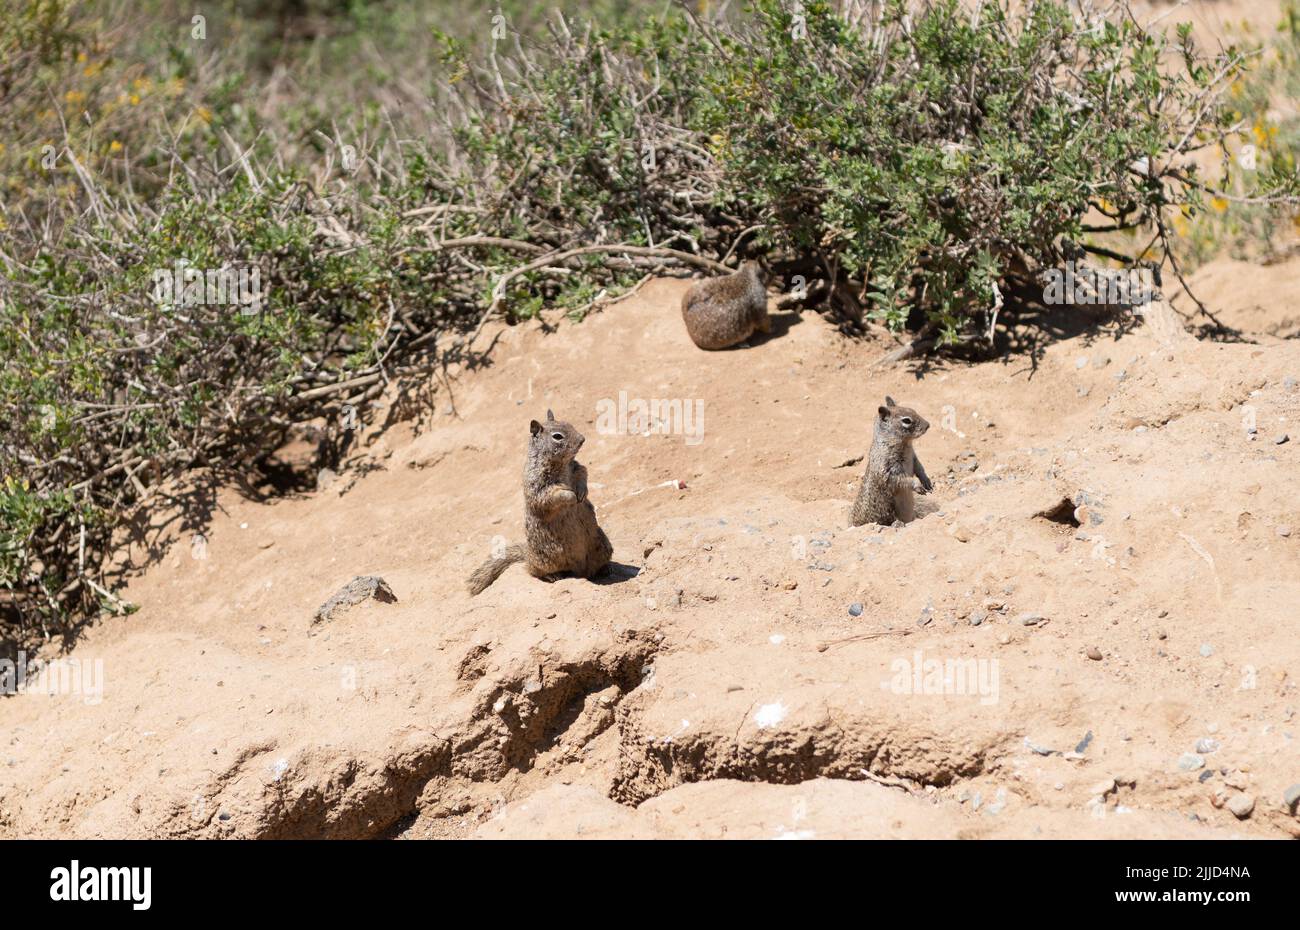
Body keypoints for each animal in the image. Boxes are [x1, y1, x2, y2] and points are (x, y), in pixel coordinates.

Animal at [466, 410, 613, 595]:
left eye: (569, 424)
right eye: (557, 436)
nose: (582, 439)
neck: (560, 464)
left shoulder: (575, 467)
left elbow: (583, 472)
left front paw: (582, 492)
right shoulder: (539, 486)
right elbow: (550, 496)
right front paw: (571, 497)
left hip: (602, 544)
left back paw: (604, 569)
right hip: (545, 558)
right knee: (533, 570)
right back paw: (552, 576)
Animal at [850, 396, 933, 527]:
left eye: (913, 410)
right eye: (906, 420)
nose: (928, 425)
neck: (906, 444)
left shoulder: (913, 457)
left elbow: (919, 467)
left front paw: (926, 480)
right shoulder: (888, 468)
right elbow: (900, 479)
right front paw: (917, 485)